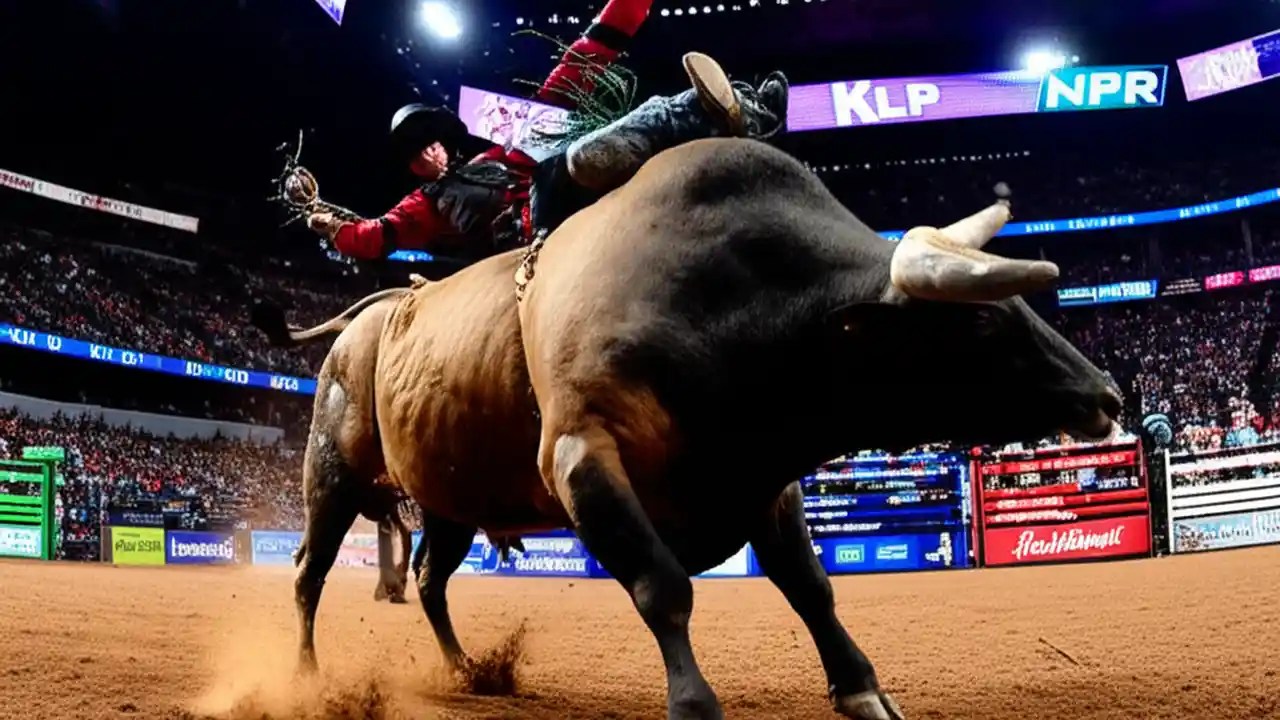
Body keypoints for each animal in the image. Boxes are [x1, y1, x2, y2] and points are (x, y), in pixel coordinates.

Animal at [264, 138, 1121, 720]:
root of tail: (370, 316)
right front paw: (694, 701)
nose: (1107, 393)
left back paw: (470, 671)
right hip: (330, 476)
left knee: (431, 579)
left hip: (451, 503)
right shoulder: (583, 457)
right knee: (310, 572)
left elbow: (810, 586)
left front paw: (862, 689)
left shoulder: (764, 477)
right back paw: (303, 674)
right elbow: (663, 587)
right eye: (979, 324)